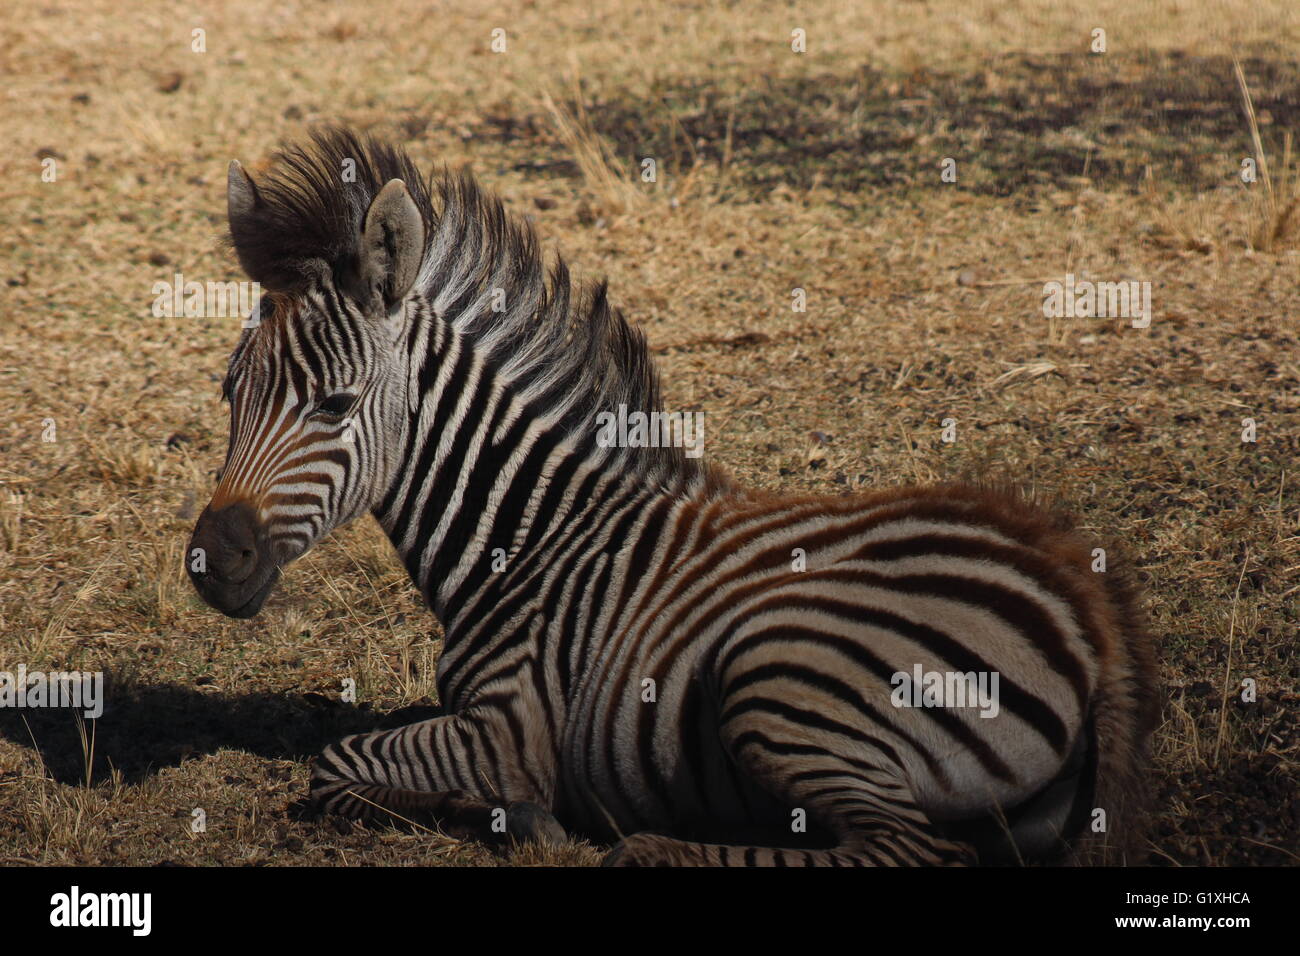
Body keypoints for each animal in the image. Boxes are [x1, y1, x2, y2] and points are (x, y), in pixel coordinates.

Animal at [187, 127, 1159, 866]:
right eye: (228, 393)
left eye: (335, 405)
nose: (212, 560)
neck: (530, 535)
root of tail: (1090, 614)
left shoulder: (507, 726)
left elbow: (335, 762)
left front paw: (520, 817)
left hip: (781, 671)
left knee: (909, 850)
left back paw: (652, 847)